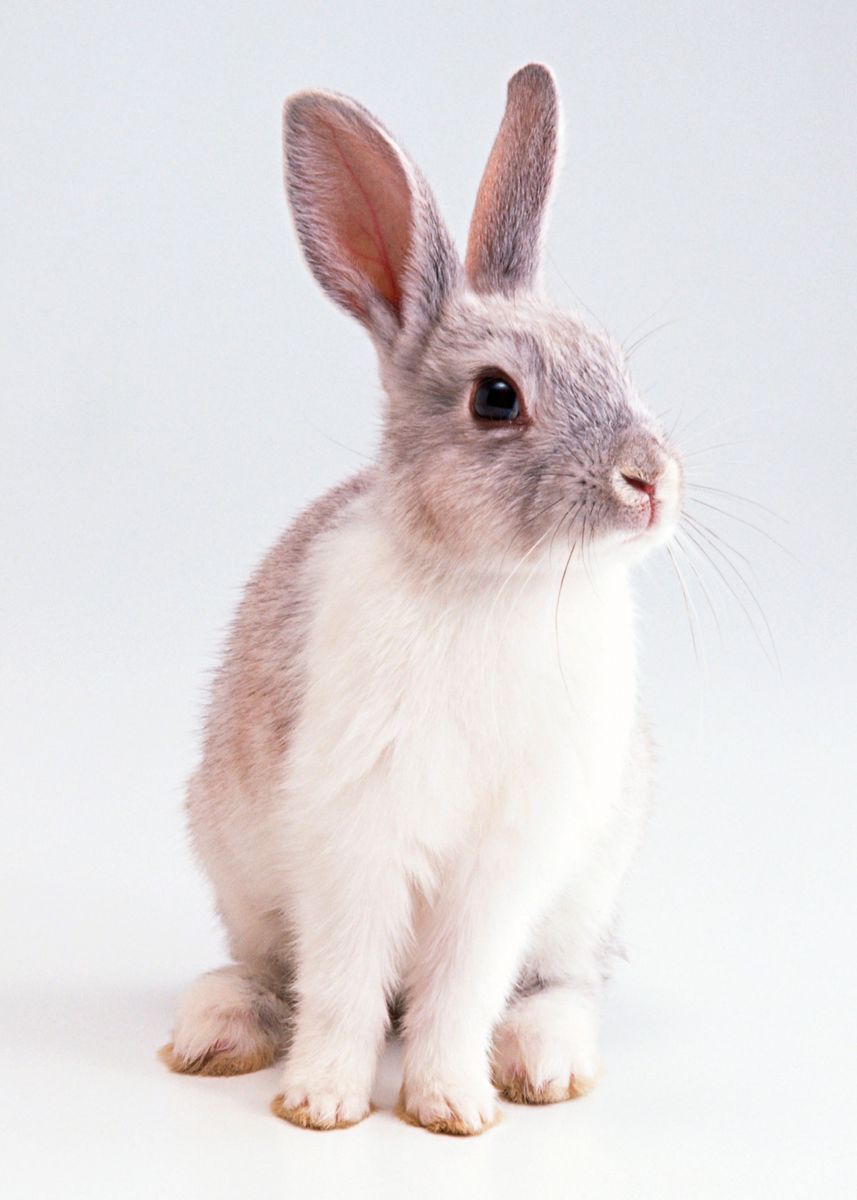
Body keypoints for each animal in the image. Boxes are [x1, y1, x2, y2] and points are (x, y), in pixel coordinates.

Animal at [160, 62, 684, 1136]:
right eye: (495, 397)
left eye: (614, 362)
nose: (651, 480)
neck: (491, 585)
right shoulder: (355, 833)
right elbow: (345, 981)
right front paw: (321, 1104)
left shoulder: (506, 859)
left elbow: (462, 986)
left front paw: (451, 1108)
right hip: (240, 874)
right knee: (269, 971)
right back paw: (216, 1034)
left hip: (581, 895)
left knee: (561, 984)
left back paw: (543, 1066)